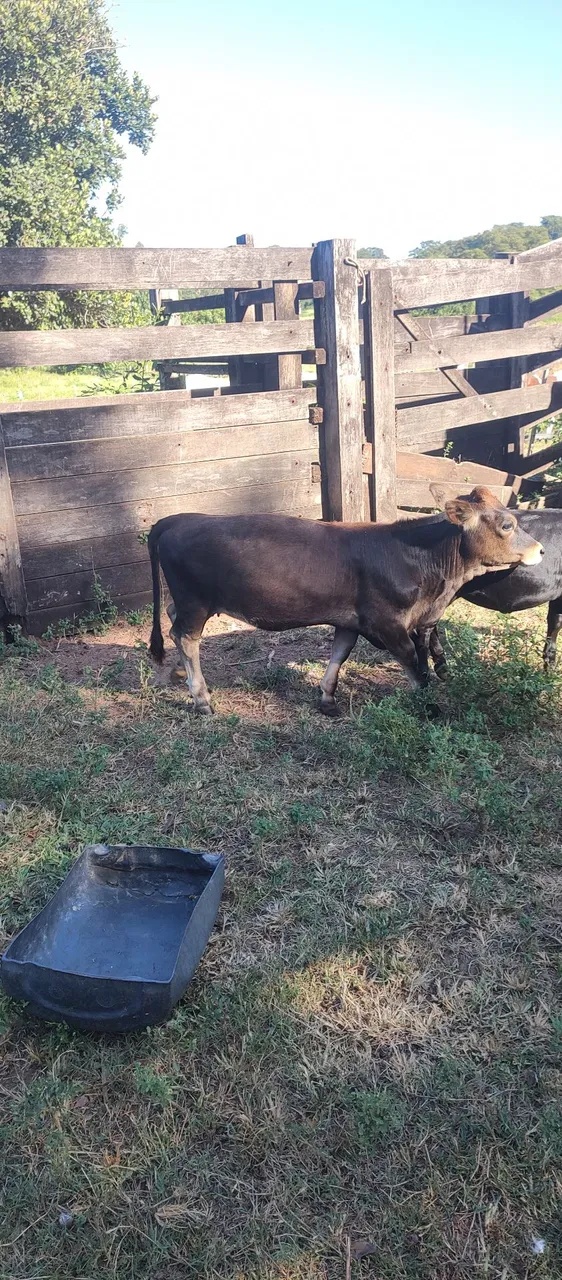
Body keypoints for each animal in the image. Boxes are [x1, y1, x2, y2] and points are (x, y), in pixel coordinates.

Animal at [147, 487, 543, 716]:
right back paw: (201, 698)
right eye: (507, 525)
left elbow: (339, 654)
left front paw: (327, 698)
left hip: (188, 600)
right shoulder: (385, 623)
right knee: (184, 635)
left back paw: (175, 673)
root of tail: (175, 520)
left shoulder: (349, 619)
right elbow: (415, 666)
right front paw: (428, 706)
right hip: (196, 600)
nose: (540, 549)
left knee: (170, 618)